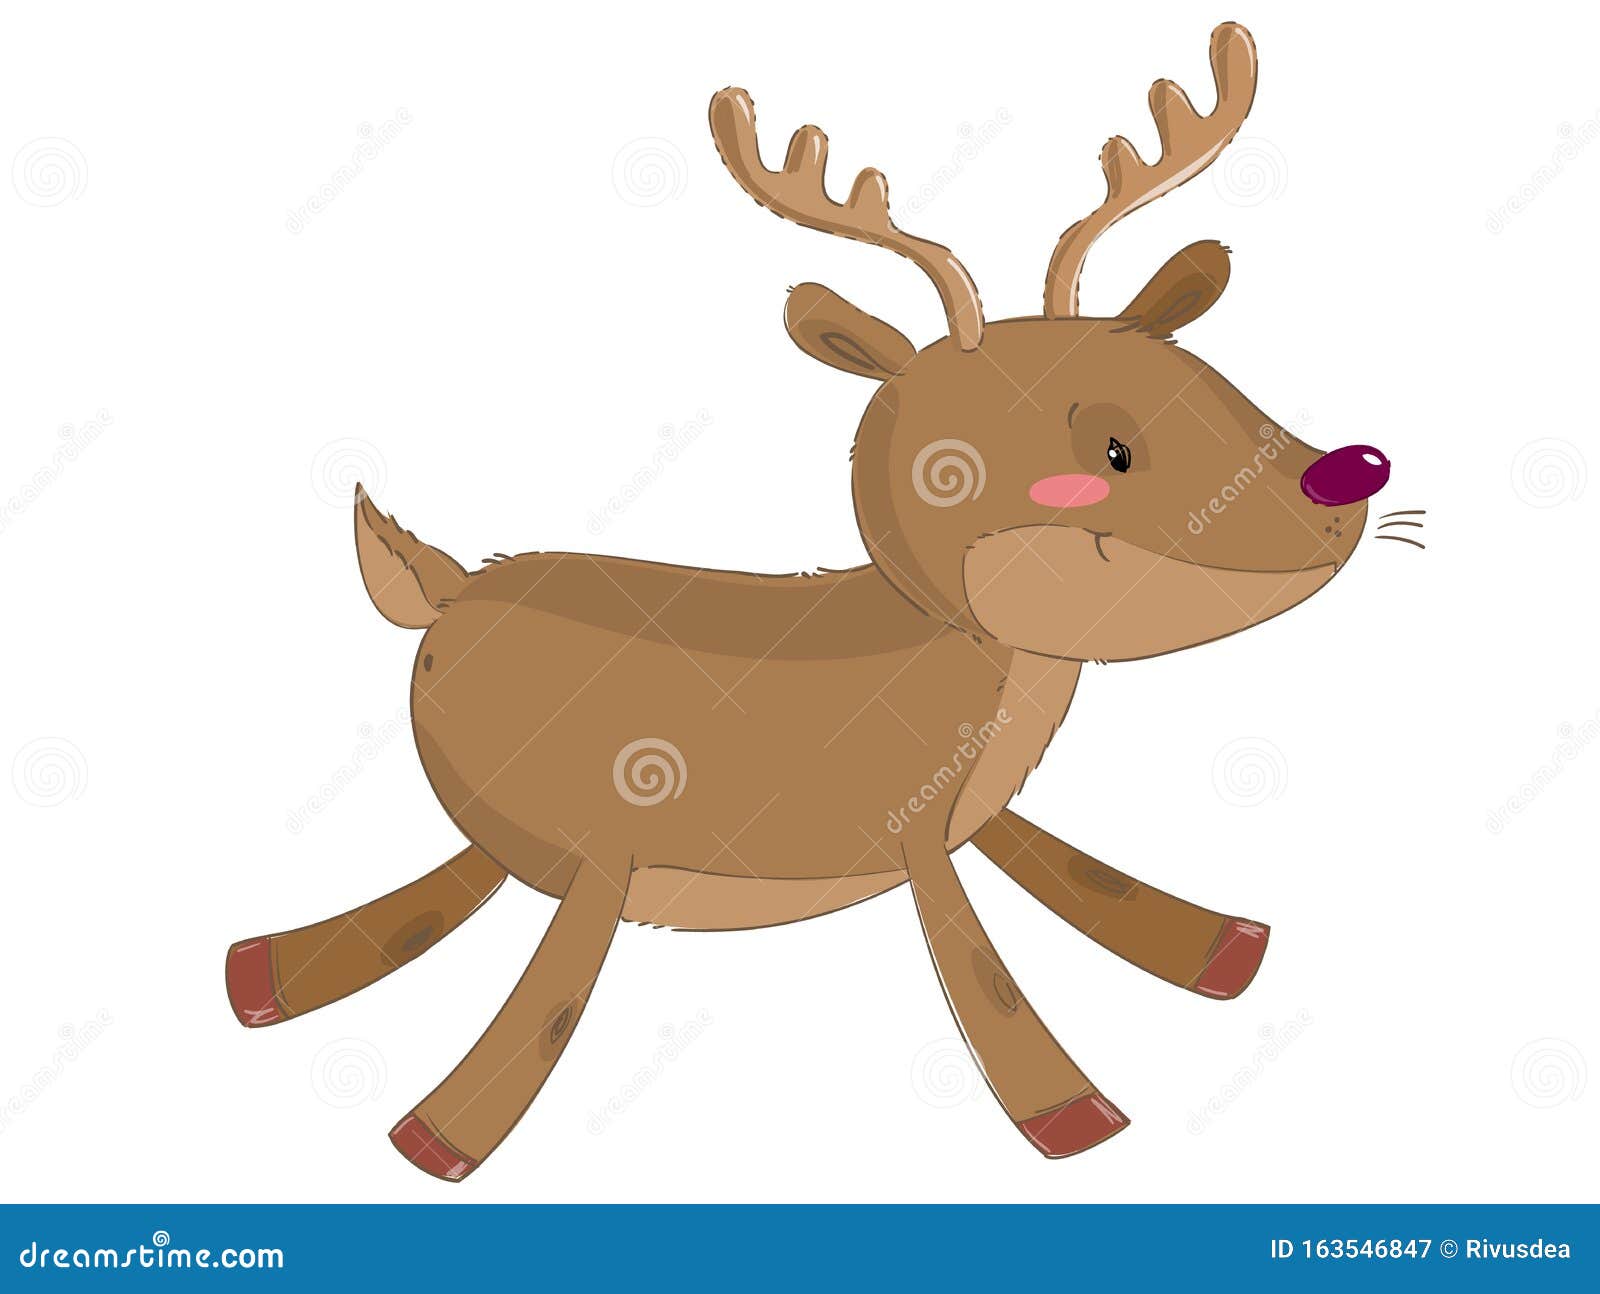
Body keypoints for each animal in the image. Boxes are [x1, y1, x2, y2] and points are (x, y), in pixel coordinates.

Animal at [226, 22, 1408, 1181]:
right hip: (599, 855)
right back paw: (437, 1137)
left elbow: (1079, 875)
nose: (1344, 480)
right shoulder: (912, 832)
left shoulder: (974, 810)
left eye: (1213, 382)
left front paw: (1225, 953)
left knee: (423, 907)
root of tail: (444, 595)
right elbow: (981, 975)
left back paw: (262, 980)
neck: (961, 660)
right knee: (541, 994)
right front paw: (1074, 1120)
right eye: (1111, 448)